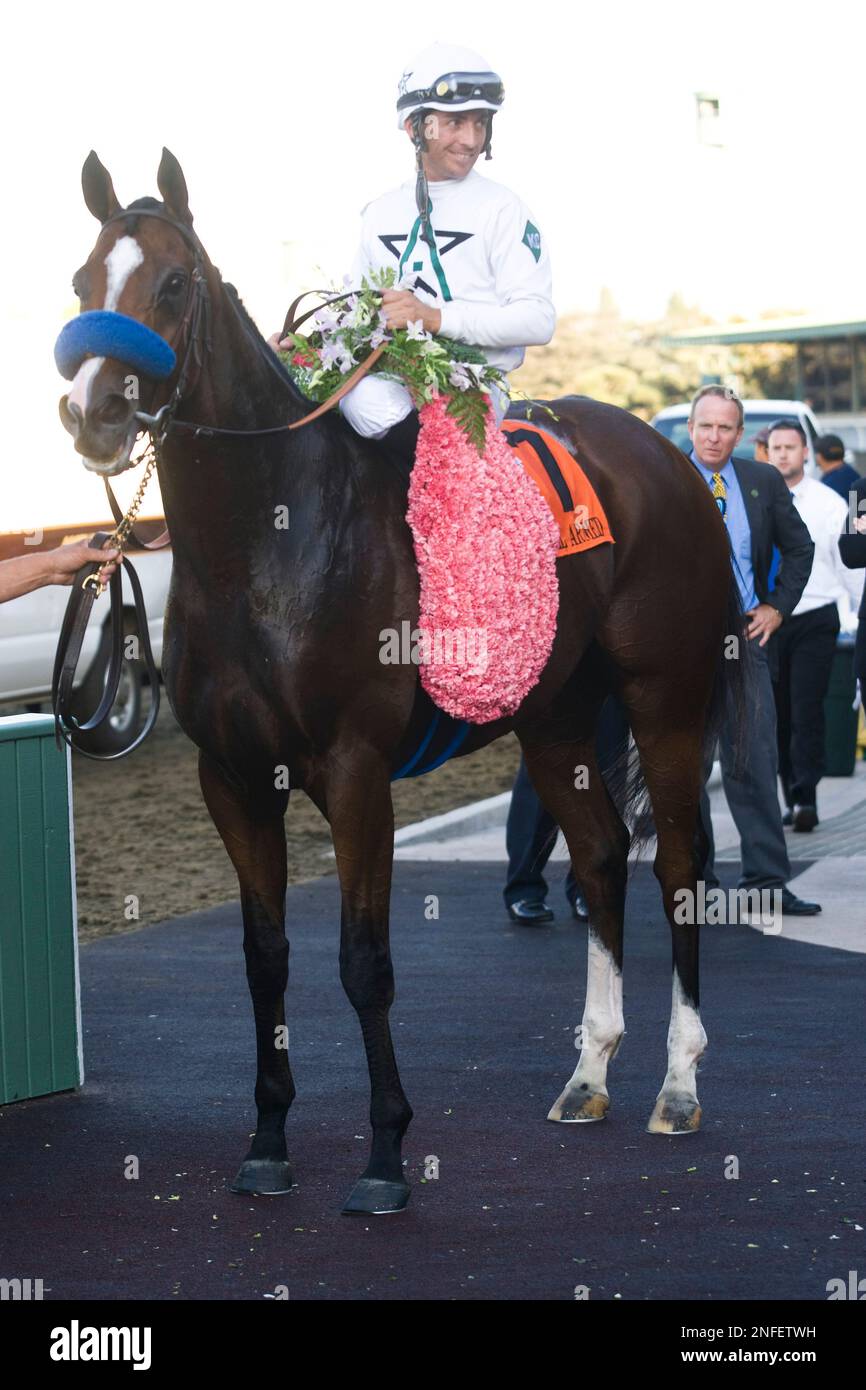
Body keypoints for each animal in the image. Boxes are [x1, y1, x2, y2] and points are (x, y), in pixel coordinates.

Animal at [58, 148, 744, 1216]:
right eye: (84, 282)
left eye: (171, 284)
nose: (94, 414)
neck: (267, 541)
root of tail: (673, 457)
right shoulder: (232, 778)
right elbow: (264, 961)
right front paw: (268, 1142)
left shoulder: (355, 774)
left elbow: (363, 962)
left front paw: (384, 1156)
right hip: (553, 715)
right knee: (598, 857)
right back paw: (588, 1075)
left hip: (665, 701)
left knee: (677, 869)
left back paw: (678, 1085)